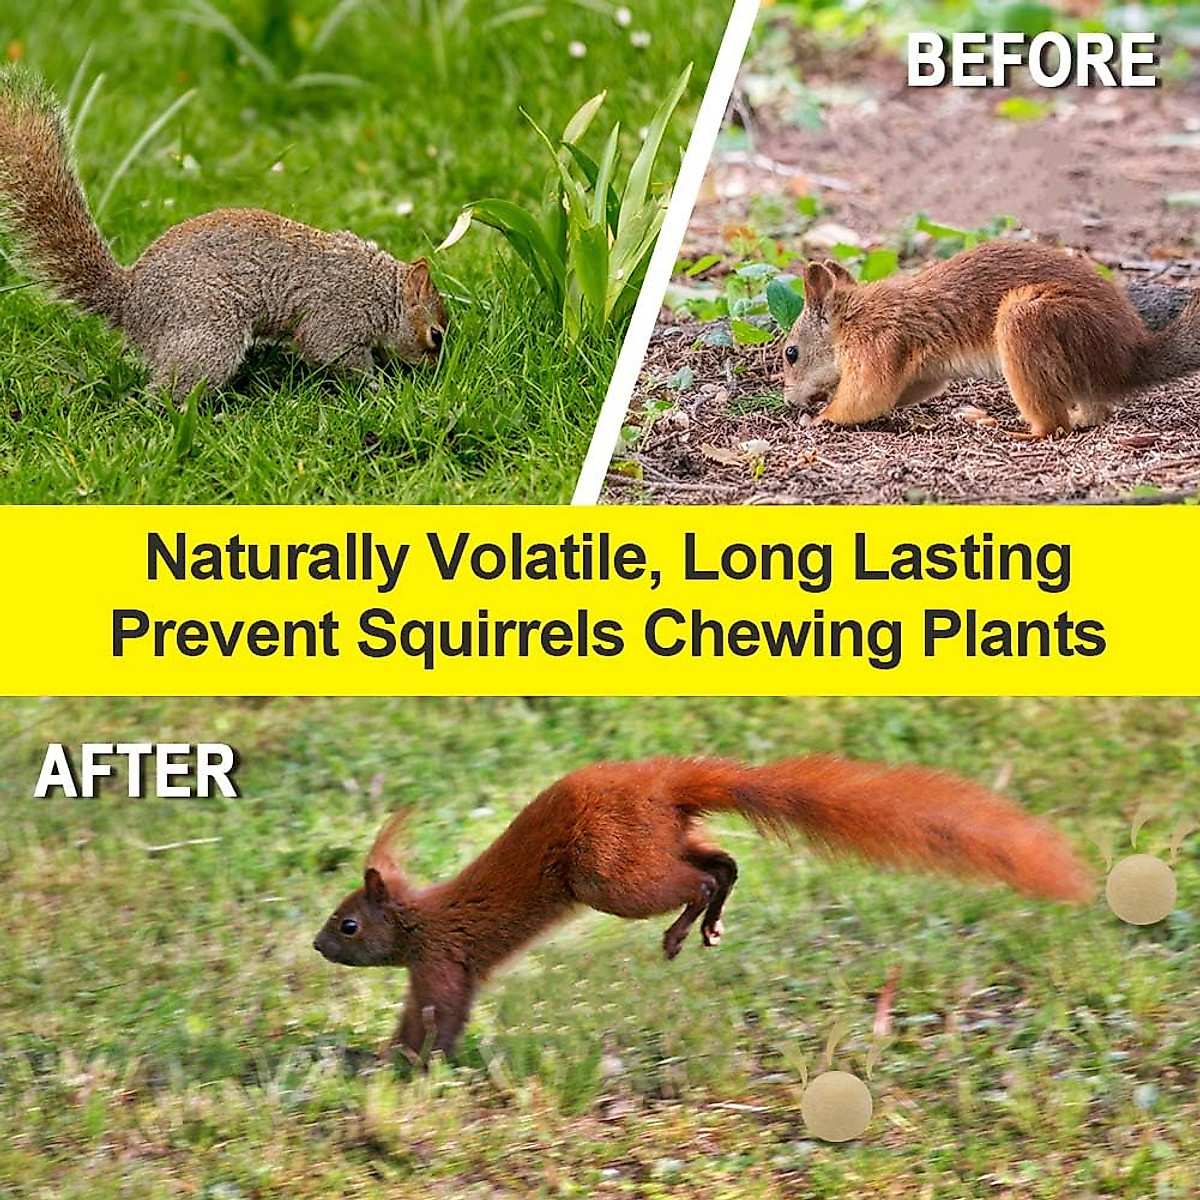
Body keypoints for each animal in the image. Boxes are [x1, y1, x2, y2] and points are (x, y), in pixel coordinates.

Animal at [0, 65, 447, 402]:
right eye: (435, 336)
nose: (434, 374)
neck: (380, 290)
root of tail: (130, 303)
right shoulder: (338, 314)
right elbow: (330, 353)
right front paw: (378, 386)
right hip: (210, 333)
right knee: (165, 392)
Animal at [314, 754, 1089, 1063]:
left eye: (346, 923)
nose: (317, 947)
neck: (423, 916)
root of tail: (660, 783)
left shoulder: (443, 961)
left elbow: (438, 1021)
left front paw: (404, 1067)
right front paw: (388, 1061)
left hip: (609, 876)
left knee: (699, 878)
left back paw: (685, 930)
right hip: (651, 848)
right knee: (721, 861)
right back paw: (706, 926)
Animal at [781, 240, 1200, 437]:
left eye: (791, 353)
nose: (788, 401)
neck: (854, 317)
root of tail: (1129, 357)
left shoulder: (878, 342)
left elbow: (866, 396)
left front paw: (820, 417)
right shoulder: (920, 371)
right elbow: (908, 390)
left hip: (1027, 318)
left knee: (1055, 426)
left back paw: (1016, 431)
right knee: (1096, 411)